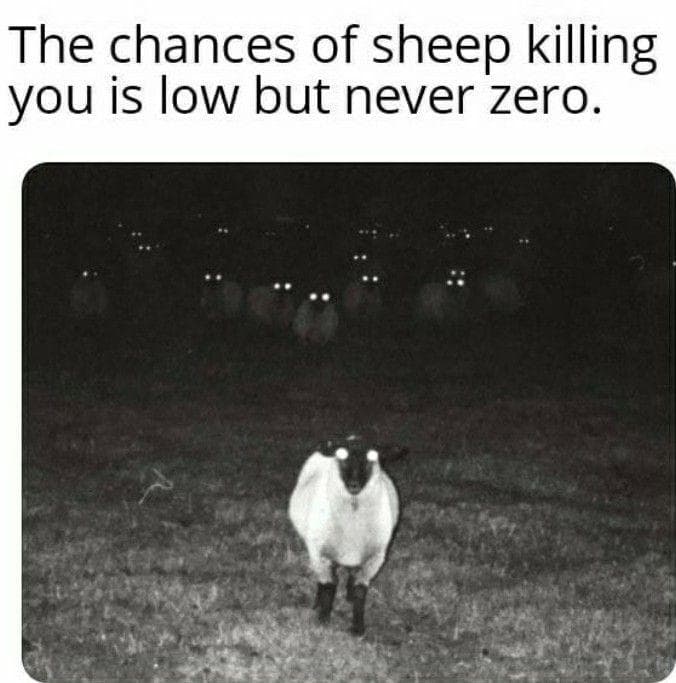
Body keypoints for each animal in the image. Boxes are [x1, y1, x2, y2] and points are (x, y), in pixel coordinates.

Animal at [288, 435, 401, 635]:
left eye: (371, 457)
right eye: (341, 456)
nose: (354, 484)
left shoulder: (374, 558)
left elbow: (360, 591)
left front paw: (357, 627)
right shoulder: (319, 553)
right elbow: (328, 586)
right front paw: (323, 619)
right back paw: (317, 603)